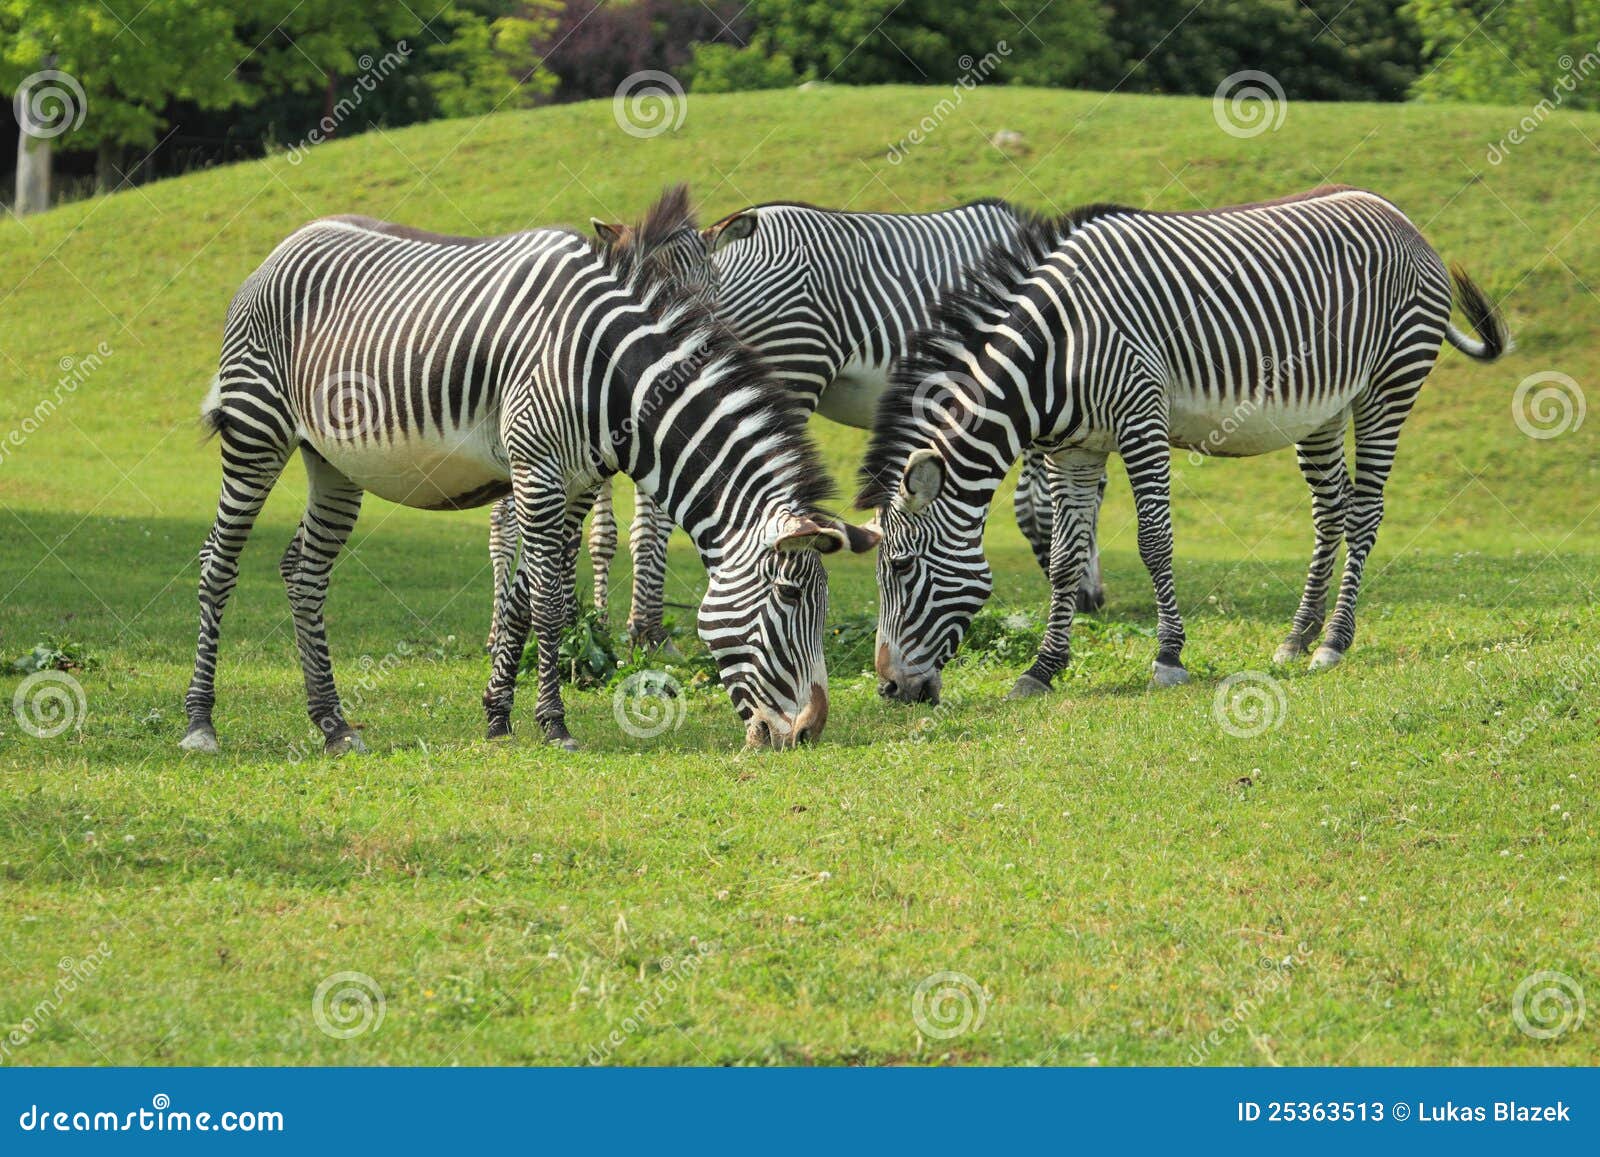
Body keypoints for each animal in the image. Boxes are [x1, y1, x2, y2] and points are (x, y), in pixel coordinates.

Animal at [180, 188, 875, 756]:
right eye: (790, 598)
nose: (809, 732)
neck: (613, 377)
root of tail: (289, 242)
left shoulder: (572, 482)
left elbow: (529, 593)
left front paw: (497, 715)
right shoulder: (537, 472)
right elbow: (548, 600)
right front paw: (553, 724)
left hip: (333, 461)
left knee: (304, 571)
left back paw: (332, 723)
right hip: (257, 429)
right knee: (219, 561)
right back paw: (200, 723)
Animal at [857, 185, 1510, 704]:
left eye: (902, 567)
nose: (889, 689)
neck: (1055, 351)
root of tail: (1397, 214)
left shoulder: (1141, 417)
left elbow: (1154, 542)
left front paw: (1169, 657)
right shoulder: (1074, 449)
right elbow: (1067, 558)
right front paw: (1042, 670)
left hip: (1389, 384)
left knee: (1366, 511)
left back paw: (1334, 642)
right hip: (1323, 409)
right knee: (1332, 510)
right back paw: (1297, 636)